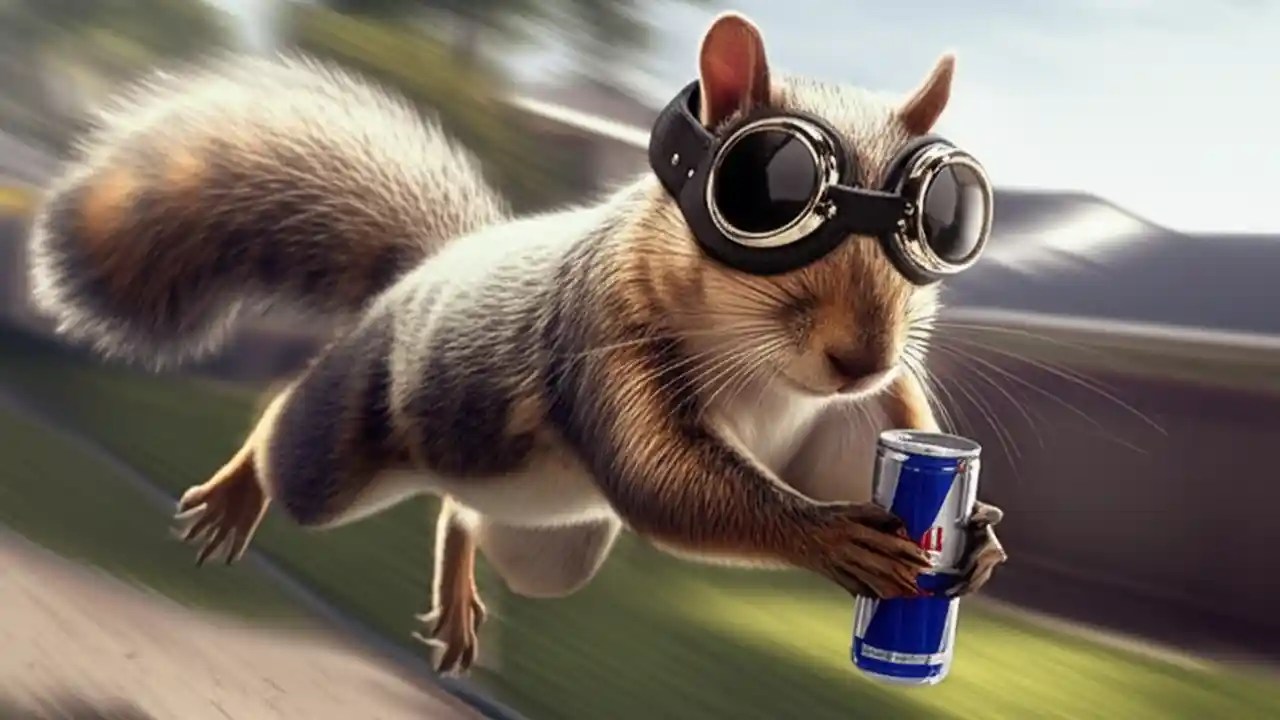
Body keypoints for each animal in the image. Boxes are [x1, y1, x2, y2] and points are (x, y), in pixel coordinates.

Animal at [26, 11, 1007, 675]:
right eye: (766, 190)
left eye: (946, 220)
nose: (862, 357)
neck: (773, 379)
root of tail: (418, 280)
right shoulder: (601, 339)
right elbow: (663, 481)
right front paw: (837, 541)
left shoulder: (849, 416)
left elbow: (865, 449)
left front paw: (978, 539)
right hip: (343, 449)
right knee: (284, 432)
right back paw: (236, 494)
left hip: (550, 545)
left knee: (462, 514)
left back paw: (459, 597)